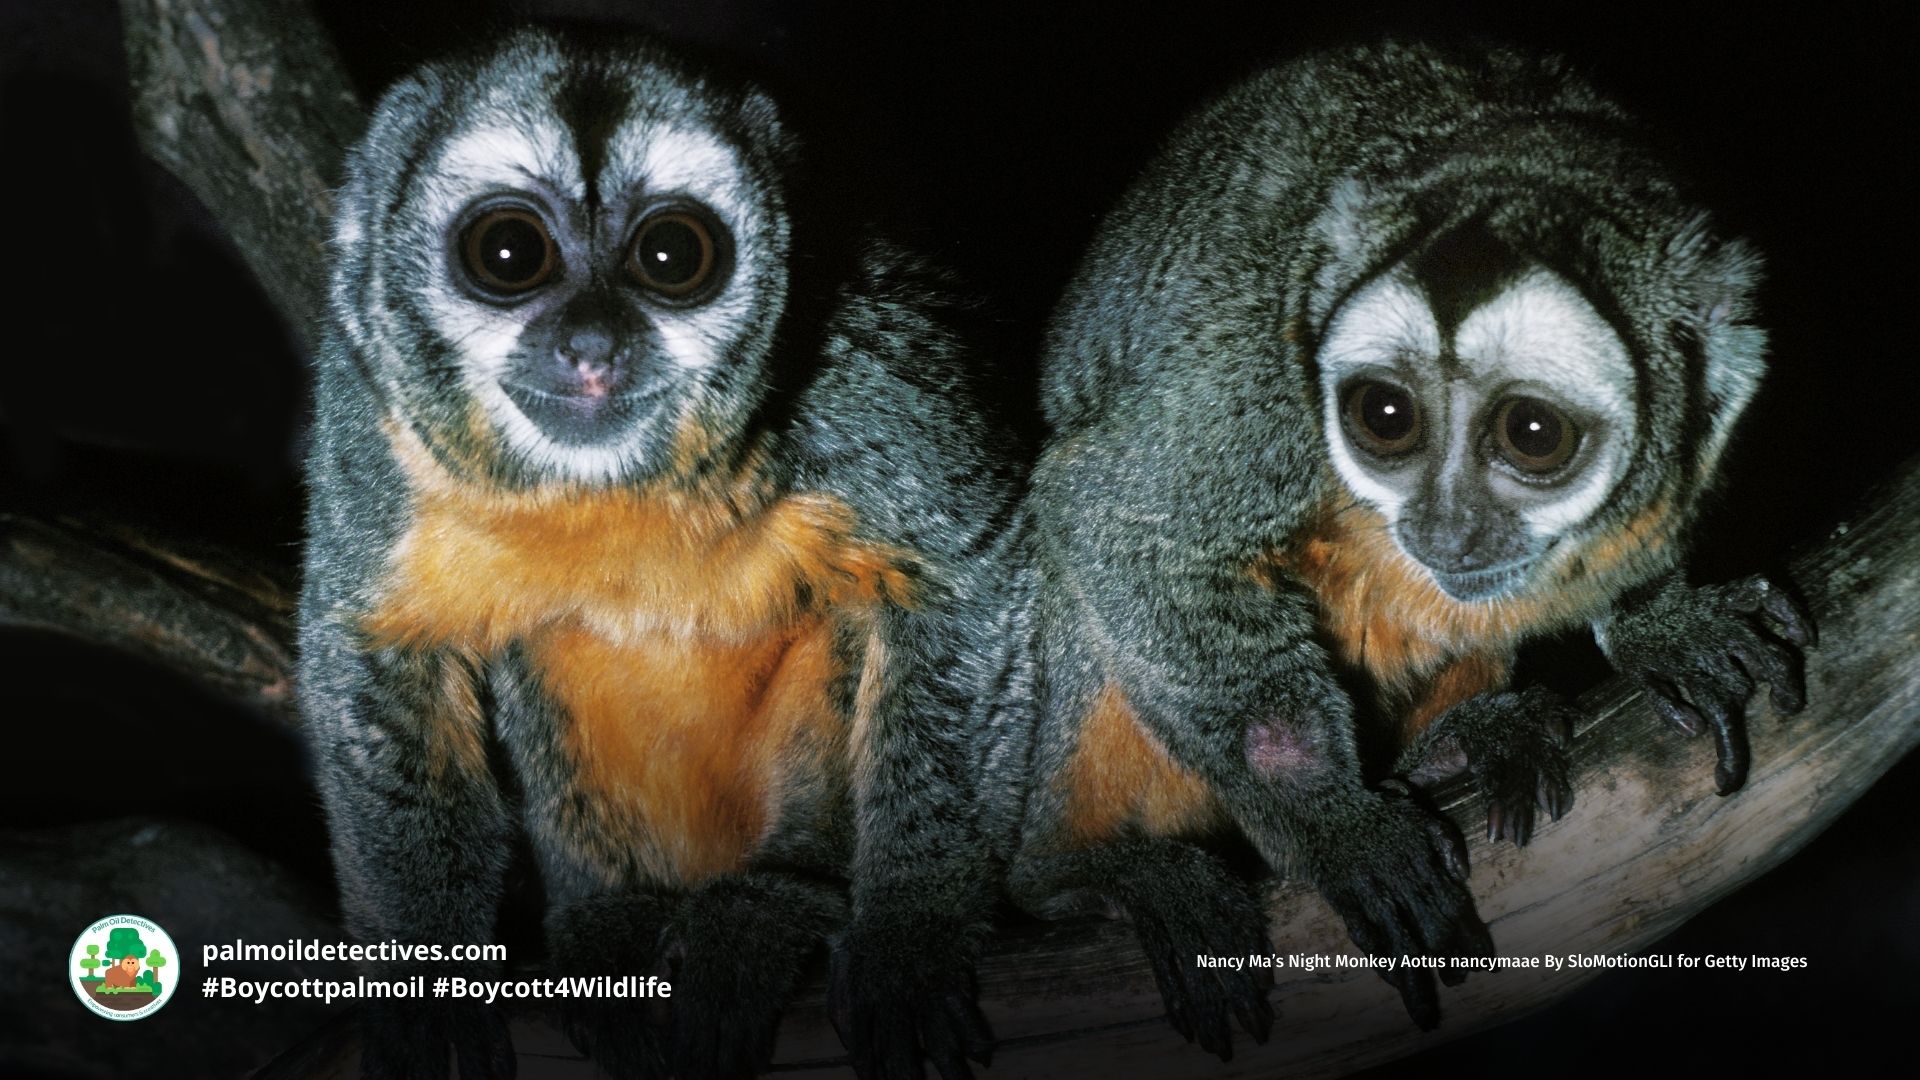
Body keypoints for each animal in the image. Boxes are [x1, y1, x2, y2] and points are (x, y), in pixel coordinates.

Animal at [297, 27, 1020, 1080]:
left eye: (673, 254)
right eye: (508, 252)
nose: (593, 345)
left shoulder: (867, 370)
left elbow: (963, 577)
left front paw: (907, 941)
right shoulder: (369, 419)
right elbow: (373, 646)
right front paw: (424, 989)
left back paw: (771, 904)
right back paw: (611, 922)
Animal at [1004, 40, 1812, 1060]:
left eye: (1533, 433)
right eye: (1385, 415)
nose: (1445, 527)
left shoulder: (1732, 334)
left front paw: (1664, 627)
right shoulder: (1258, 380)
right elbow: (1110, 519)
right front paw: (1340, 831)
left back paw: (1454, 747)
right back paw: (1086, 877)